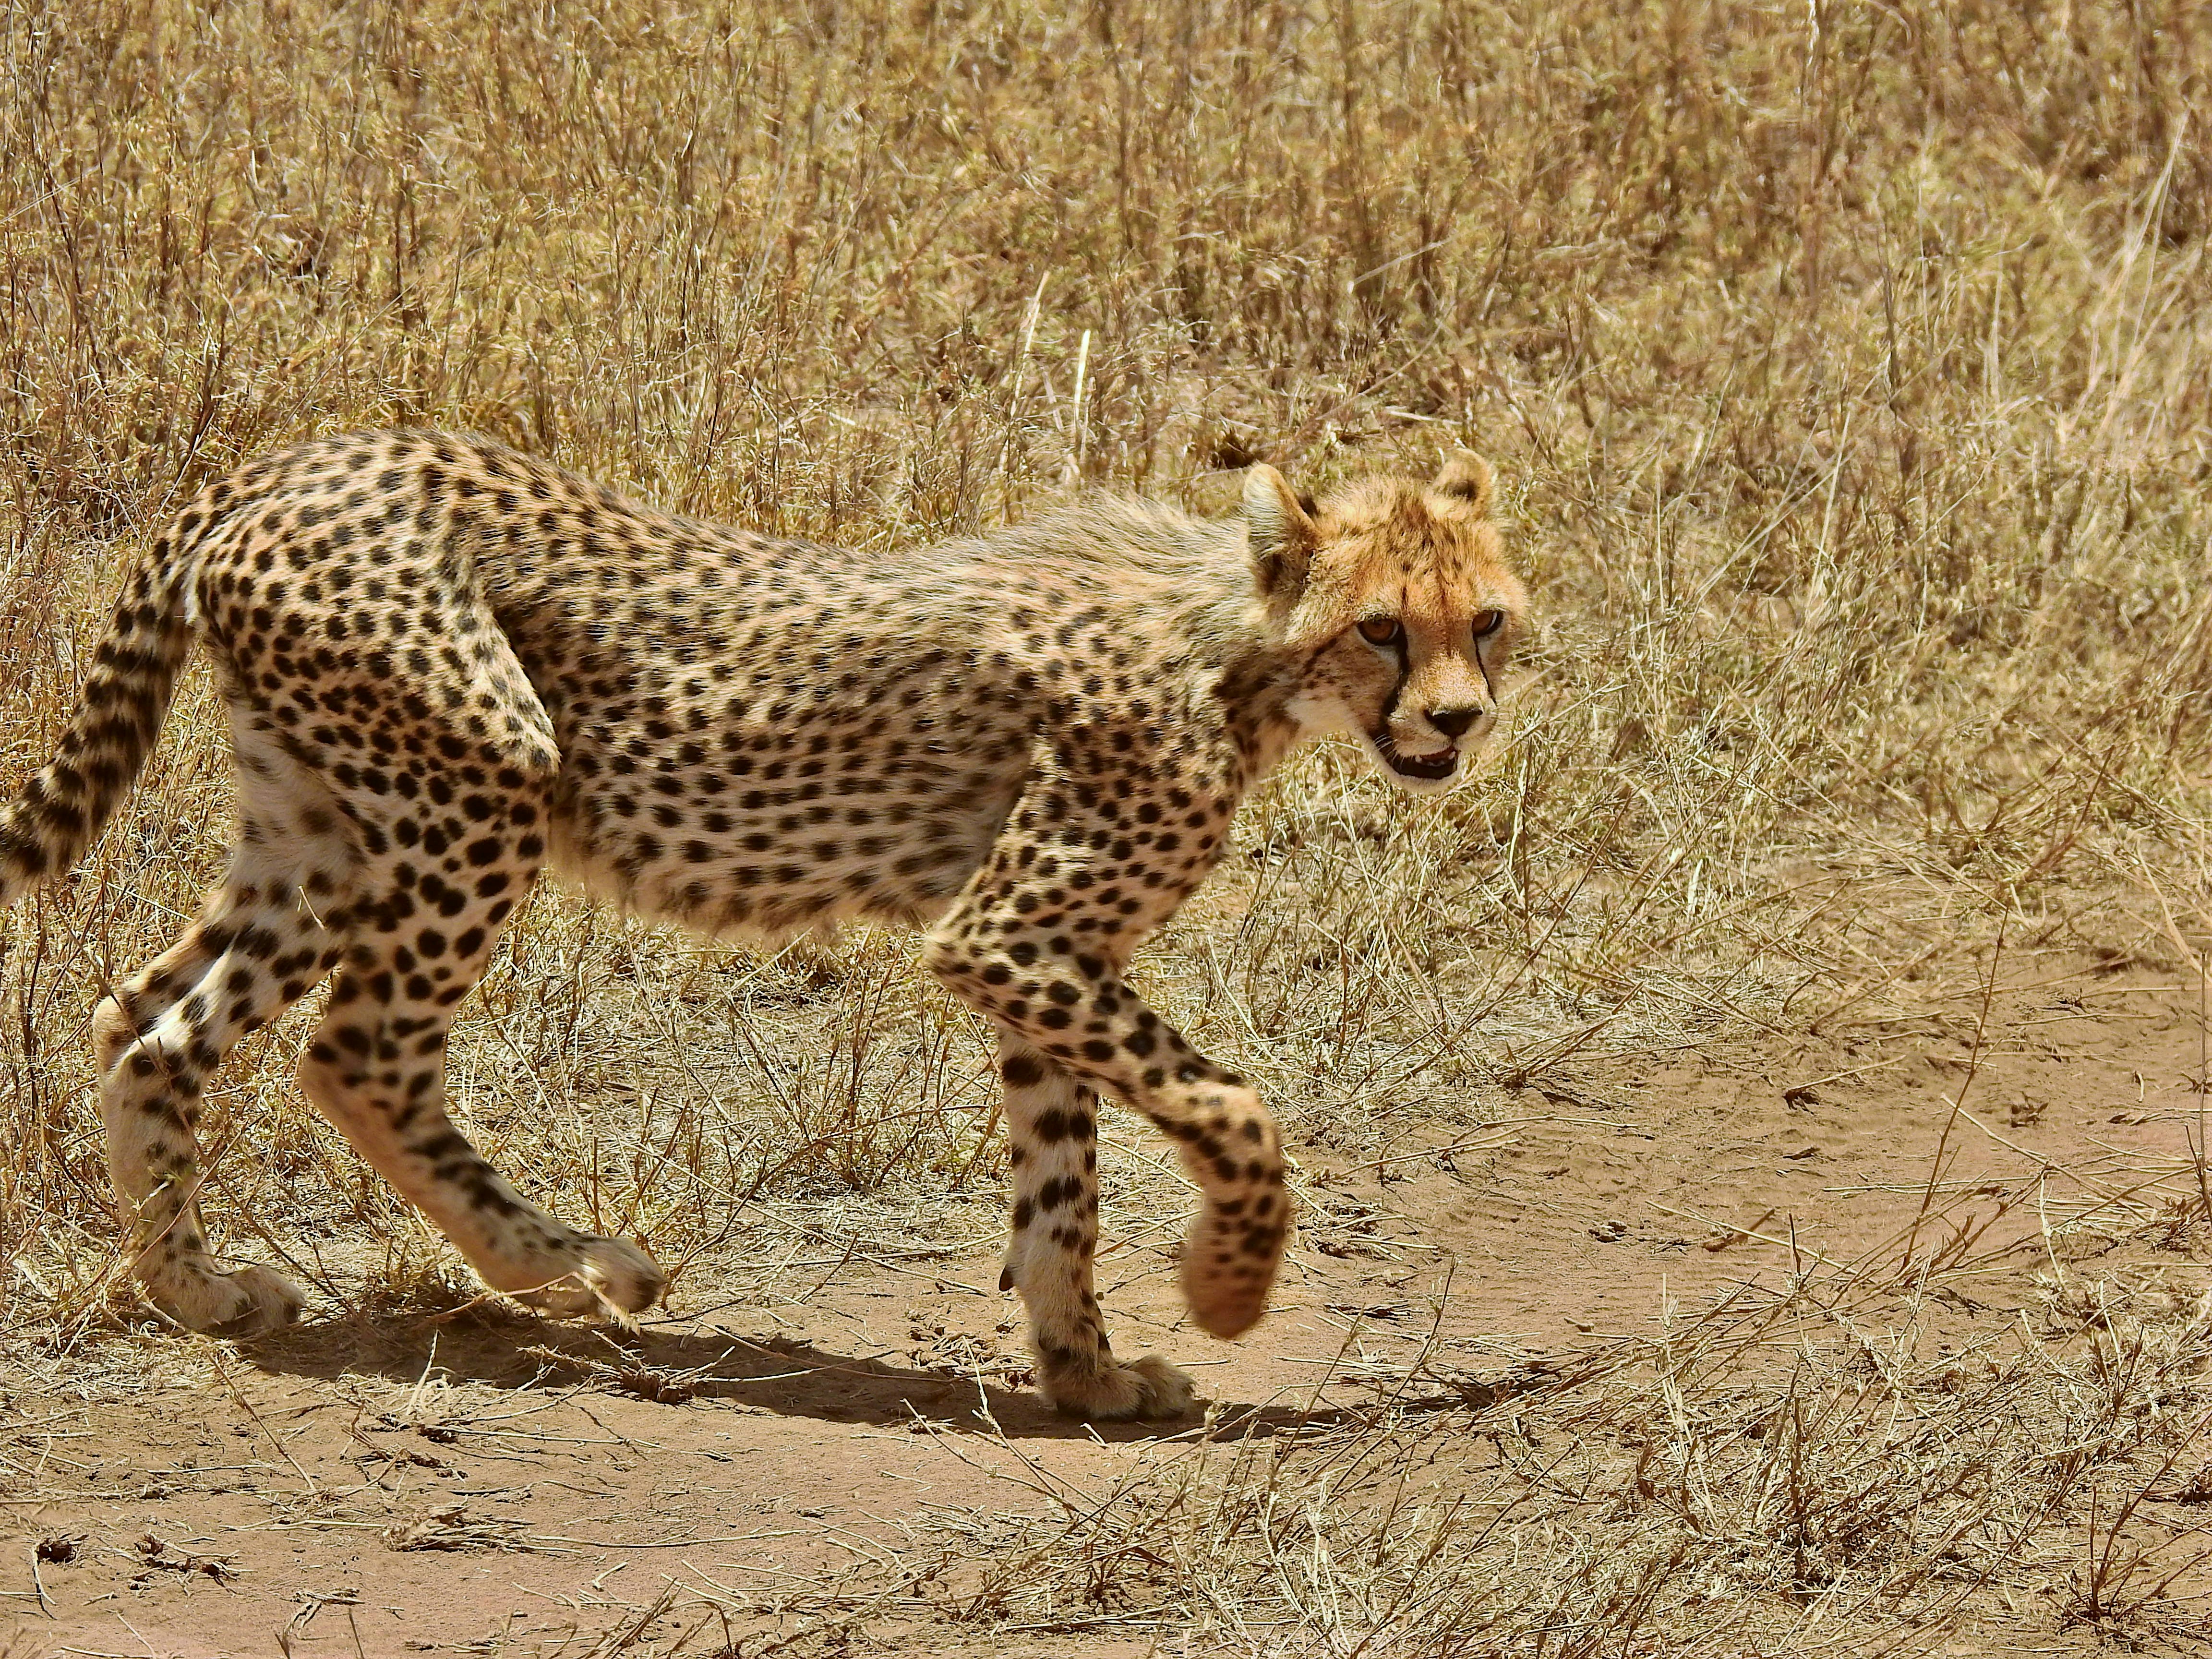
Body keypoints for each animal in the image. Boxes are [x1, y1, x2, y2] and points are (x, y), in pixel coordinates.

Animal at [0, 429, 1529, 1420]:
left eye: (1489, 621)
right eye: (1382, 627)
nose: (1459, 720)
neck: (1231, 647)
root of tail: (294, 460)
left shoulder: (1048, 958)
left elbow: (1063, 1182)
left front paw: (1088, 1371)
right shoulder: (1008, 934)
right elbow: (1237, 1106)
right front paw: (1225, 1286)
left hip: (320, 827)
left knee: (143, 1021)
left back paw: (198, 1292)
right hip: (484, 782)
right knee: (357, 1053)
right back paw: (569, 1263)